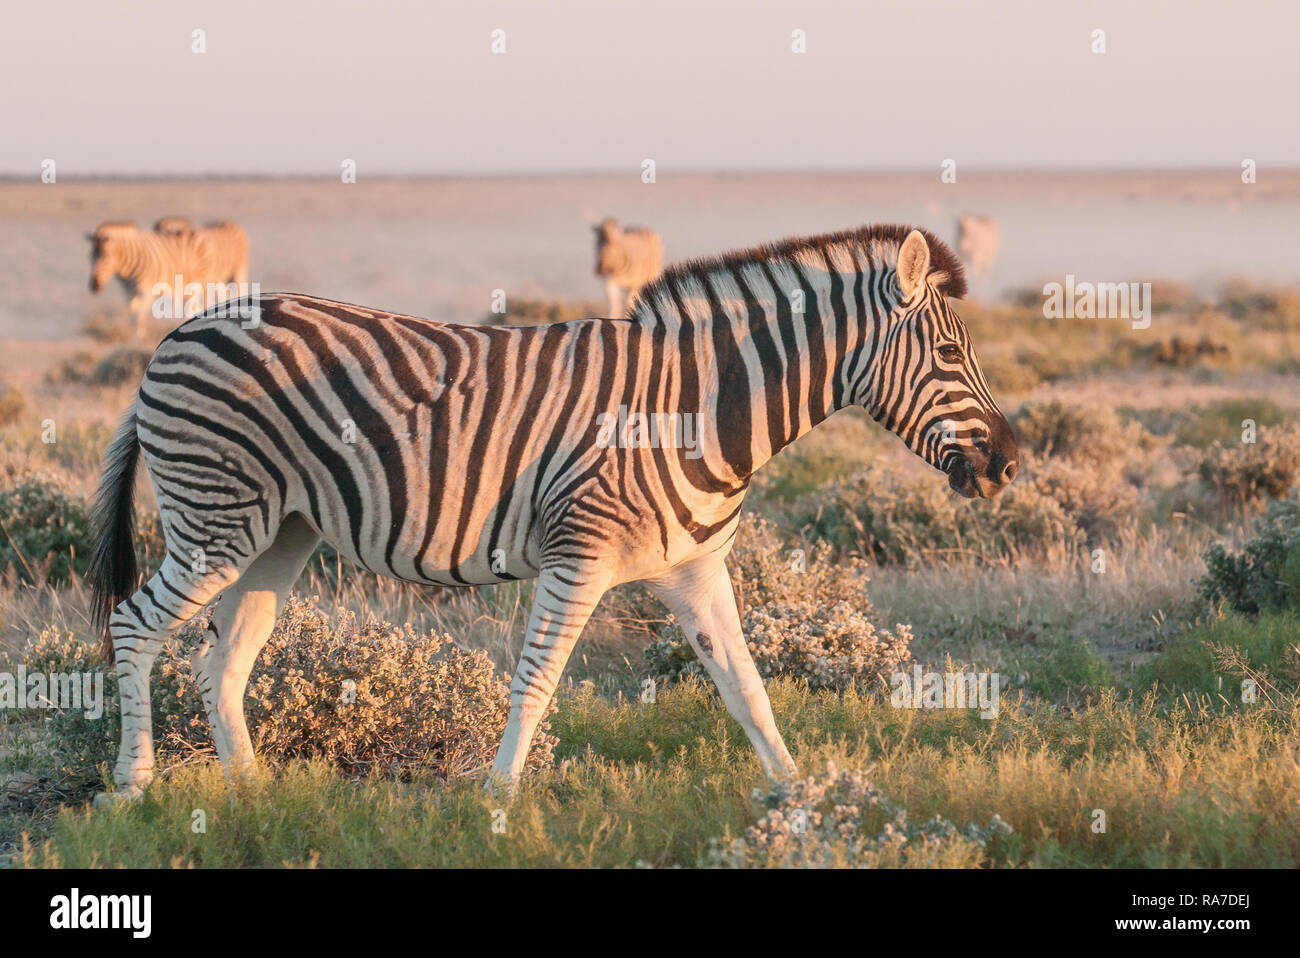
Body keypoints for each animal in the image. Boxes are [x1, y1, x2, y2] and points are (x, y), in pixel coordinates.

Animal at [88, 221, 250, 339]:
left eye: (105, 259)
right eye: (90, 257)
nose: (94, 286)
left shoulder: (147, 290)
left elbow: (139, 315)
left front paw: (139, 339)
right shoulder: (128, 292)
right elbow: (132, 314)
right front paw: (134, 338)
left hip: (228, 274)